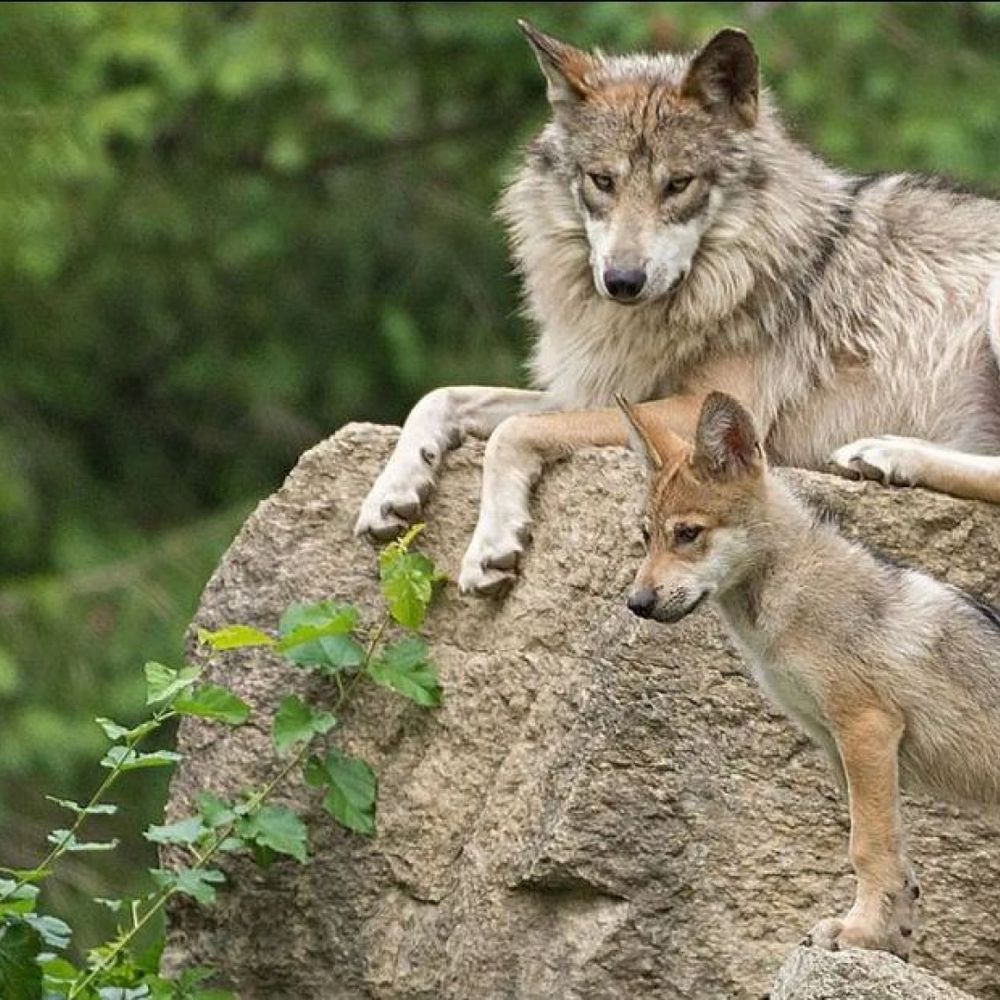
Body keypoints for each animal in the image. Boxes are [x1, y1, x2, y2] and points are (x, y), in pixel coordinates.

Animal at [355, 21, 1000, 596]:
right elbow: (442, 397)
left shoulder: (703, 411)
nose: (622, 280)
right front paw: (392, 489)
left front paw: (490, 545)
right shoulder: (601, 389)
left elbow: (513, 431)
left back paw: (887, 453)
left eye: (679, 184)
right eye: (603, 181)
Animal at [619, 389, 1000, 960]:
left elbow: (867, 848)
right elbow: (894, 860)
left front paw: (860, 933)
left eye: (687, 534)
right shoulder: (836, 746)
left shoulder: (866, 731)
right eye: (645, 538)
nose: (636, 604)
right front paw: (888, 941)